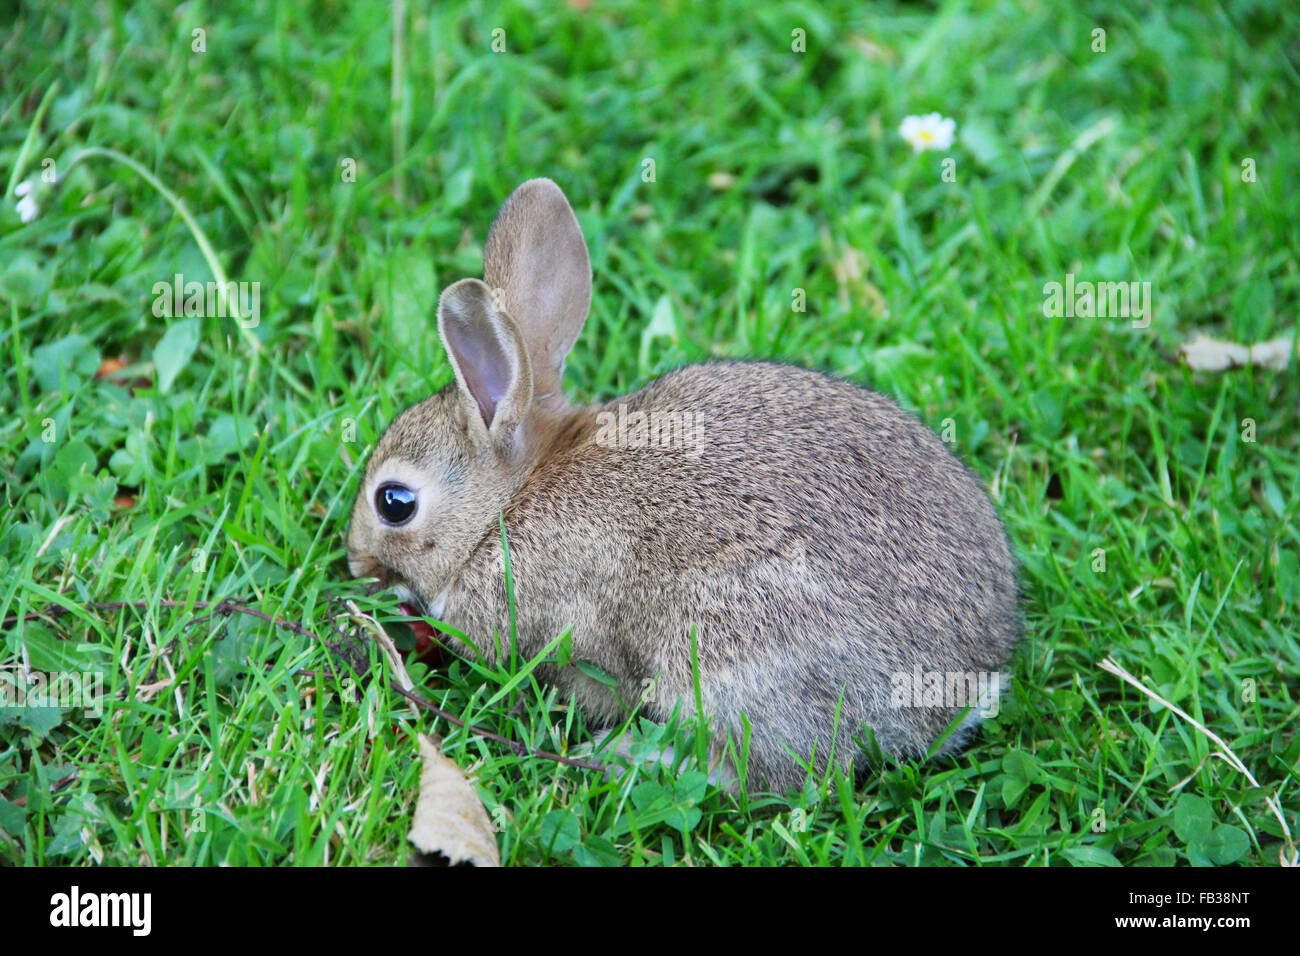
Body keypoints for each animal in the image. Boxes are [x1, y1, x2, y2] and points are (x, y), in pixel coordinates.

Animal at [347, 178, 1020, 793]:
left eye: (394, 503)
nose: (355, 563)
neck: (506, 507)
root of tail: (959, 688)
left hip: (726, 658)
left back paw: (629, 757)